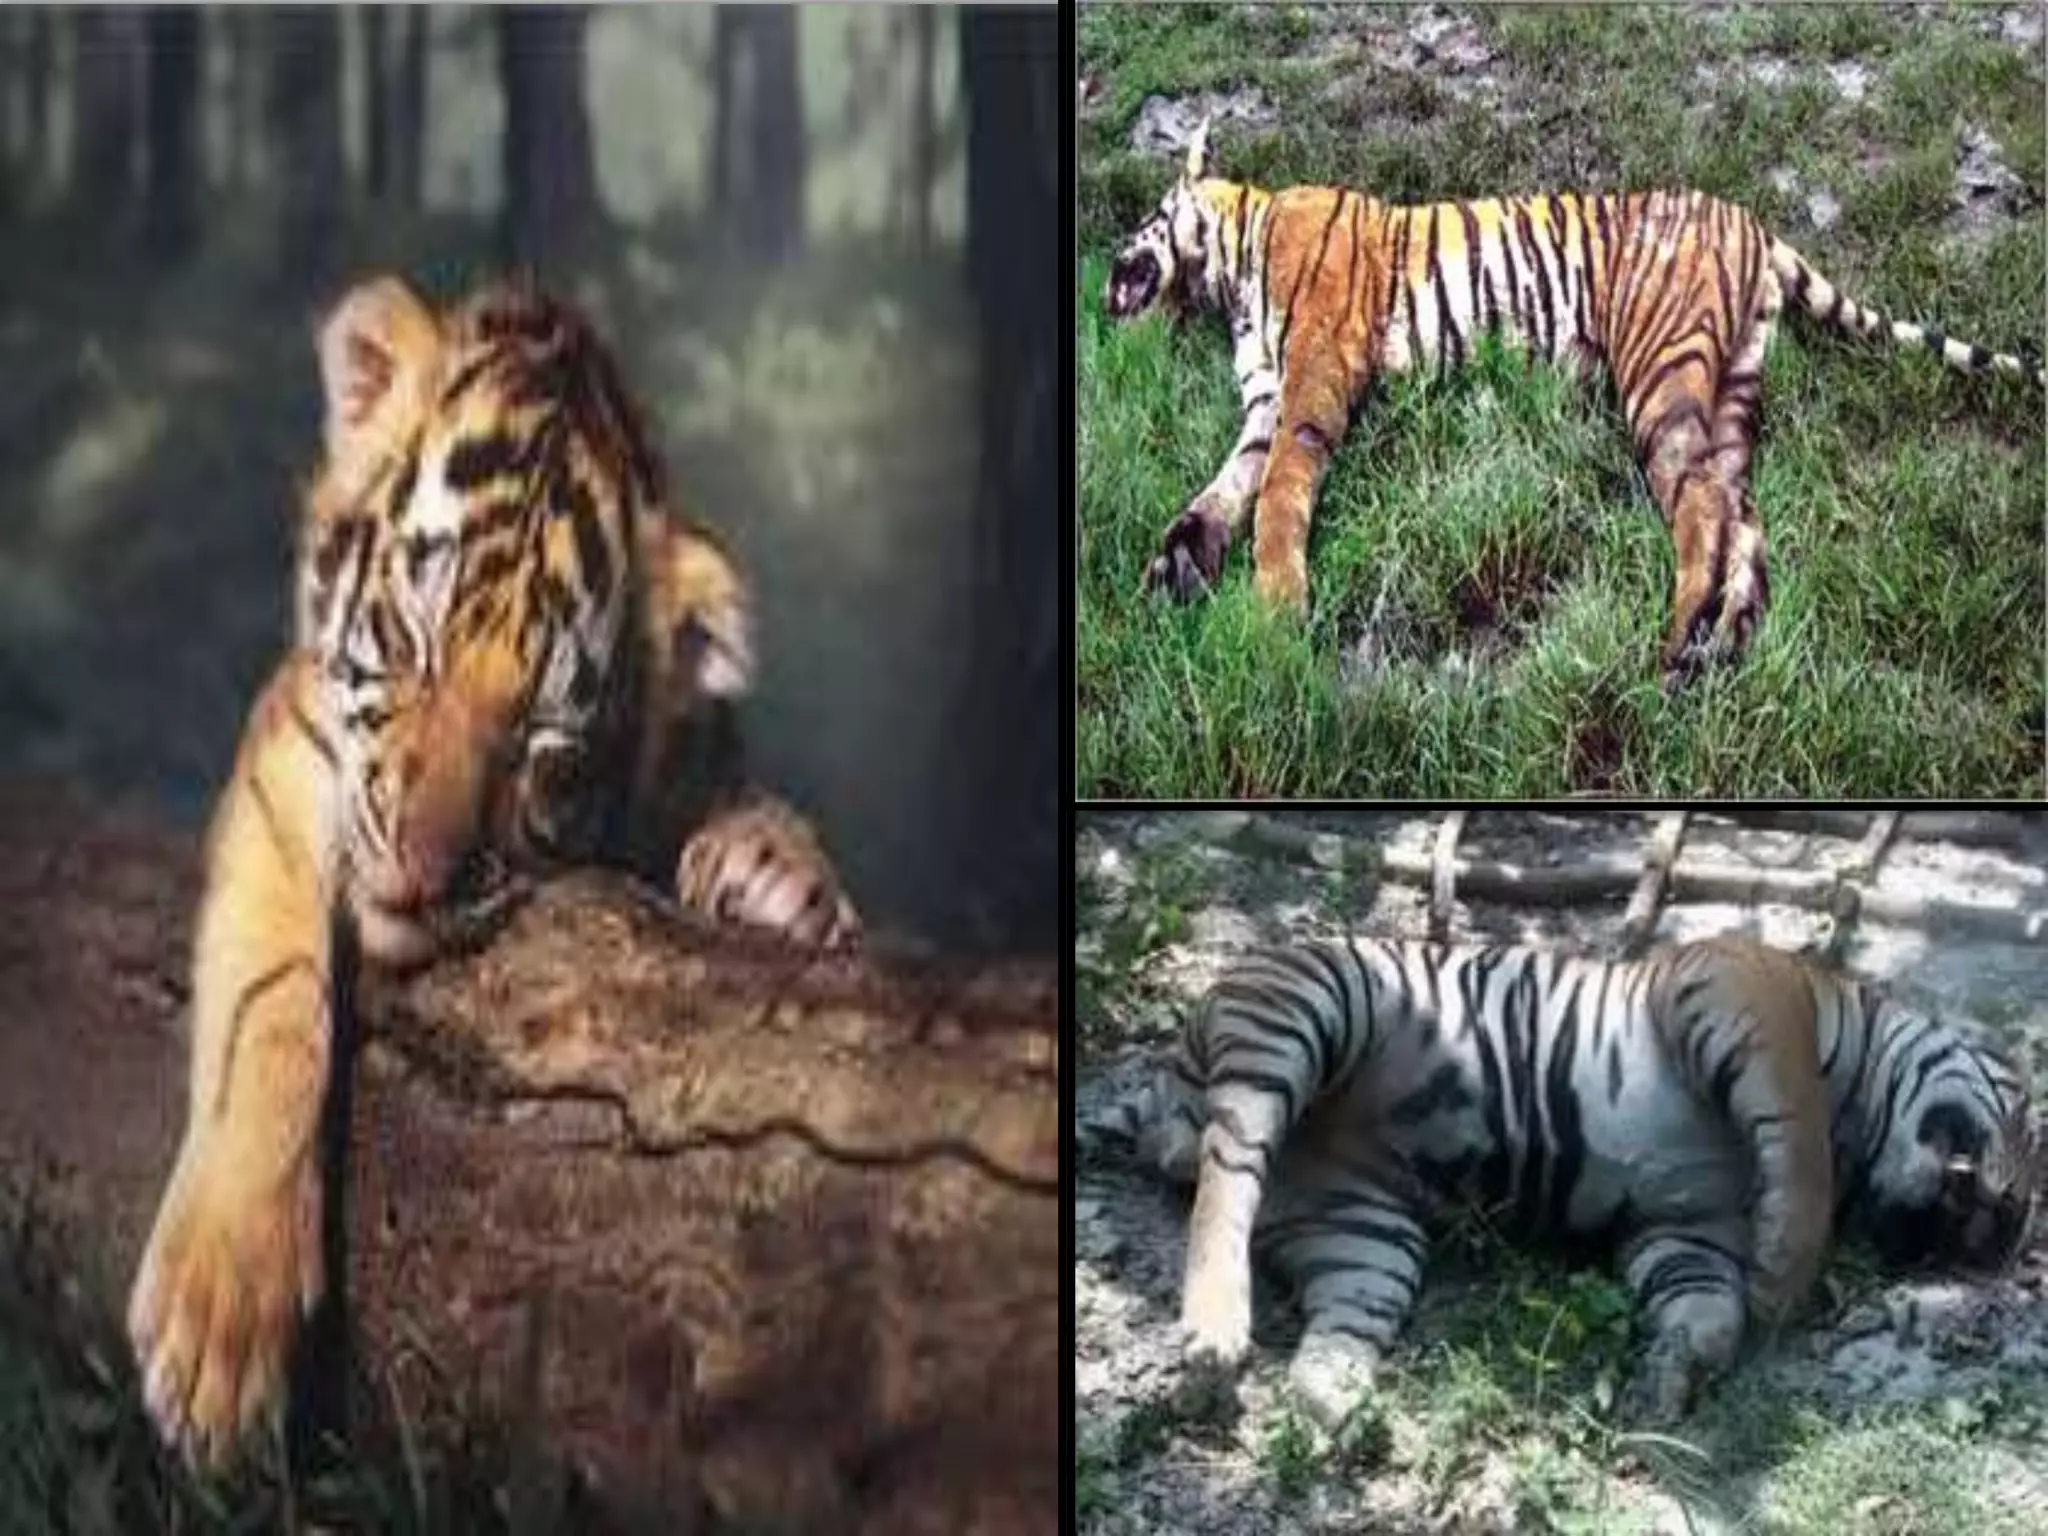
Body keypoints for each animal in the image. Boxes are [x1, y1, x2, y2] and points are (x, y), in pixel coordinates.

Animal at [128, 274, 860, 1466]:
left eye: (542, 741)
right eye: (411, 642)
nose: (425, 869)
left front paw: (776, 876)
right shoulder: (296, 741)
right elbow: (269, 1006)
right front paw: (219, 1329)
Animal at [1083, 933, 2036, 1428]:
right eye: (2029, 1112)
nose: (2003, 1226)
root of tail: (1162, 1085)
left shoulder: (1688, 1229)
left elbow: (1707, 1313)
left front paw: (1666, 1385)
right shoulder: (1744, 1001)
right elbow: (1798, 1150)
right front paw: (1782, 1280)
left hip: (1361, 1231)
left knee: (1339, 1317)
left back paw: (1331, 1410)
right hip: (1310, 1010)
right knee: (1223, 1177)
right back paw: (1212, 1342)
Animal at [1102, 120, 2045, 690]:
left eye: (1146, 214)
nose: (1106, 279)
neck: (1227, 273)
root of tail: (1754, 221)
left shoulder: (1313, 374)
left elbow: (1279, 493)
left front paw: (1273, 617)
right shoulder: (1266, 394)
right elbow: (1231, 481)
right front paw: (1179, 561)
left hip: (1661, 373)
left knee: (1702, 508)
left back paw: (1674, 643)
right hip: (1731, 391)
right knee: (1746, 518)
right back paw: (1719, 644)